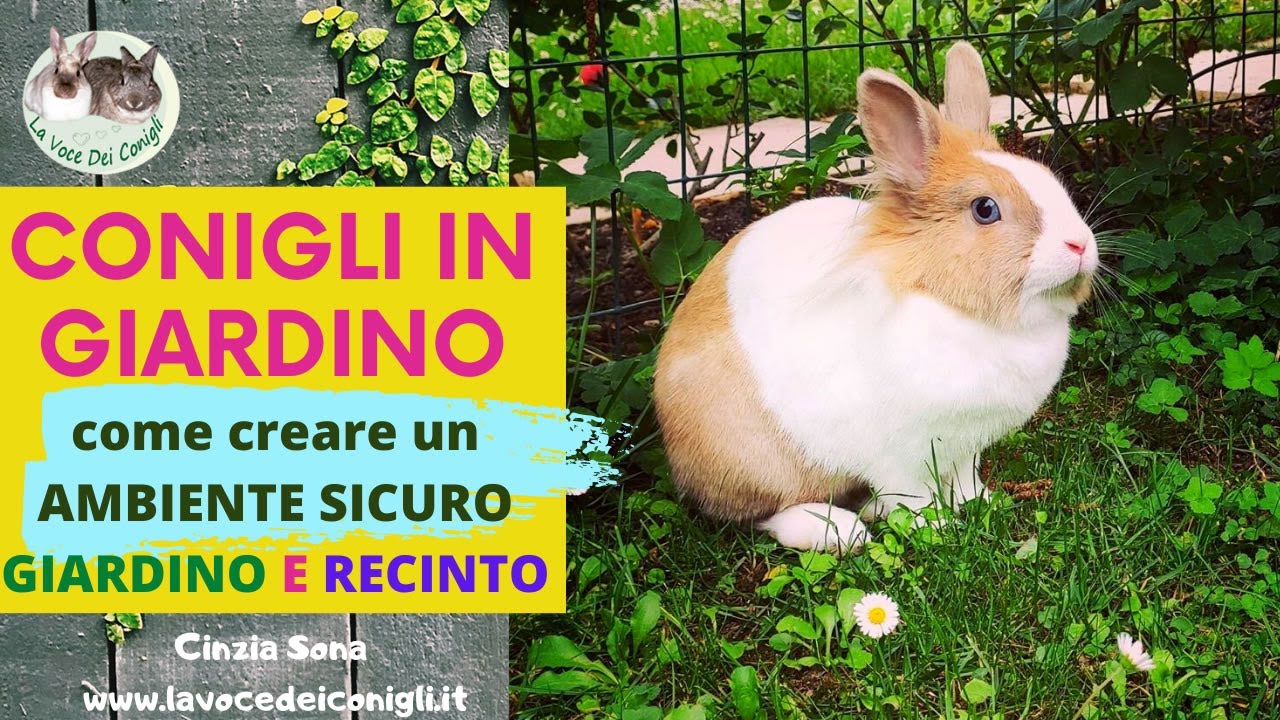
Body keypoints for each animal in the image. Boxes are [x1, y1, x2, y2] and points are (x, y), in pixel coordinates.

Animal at [653, 42, 1098, 554]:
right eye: (985, 209)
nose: (1080, 245)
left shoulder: (965, 446)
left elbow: (964, 479)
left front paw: (980, 504)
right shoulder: (899, 453)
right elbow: (913, 496)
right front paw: (937, 527)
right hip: (755, 462)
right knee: (761, 515)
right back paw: (839, 531)